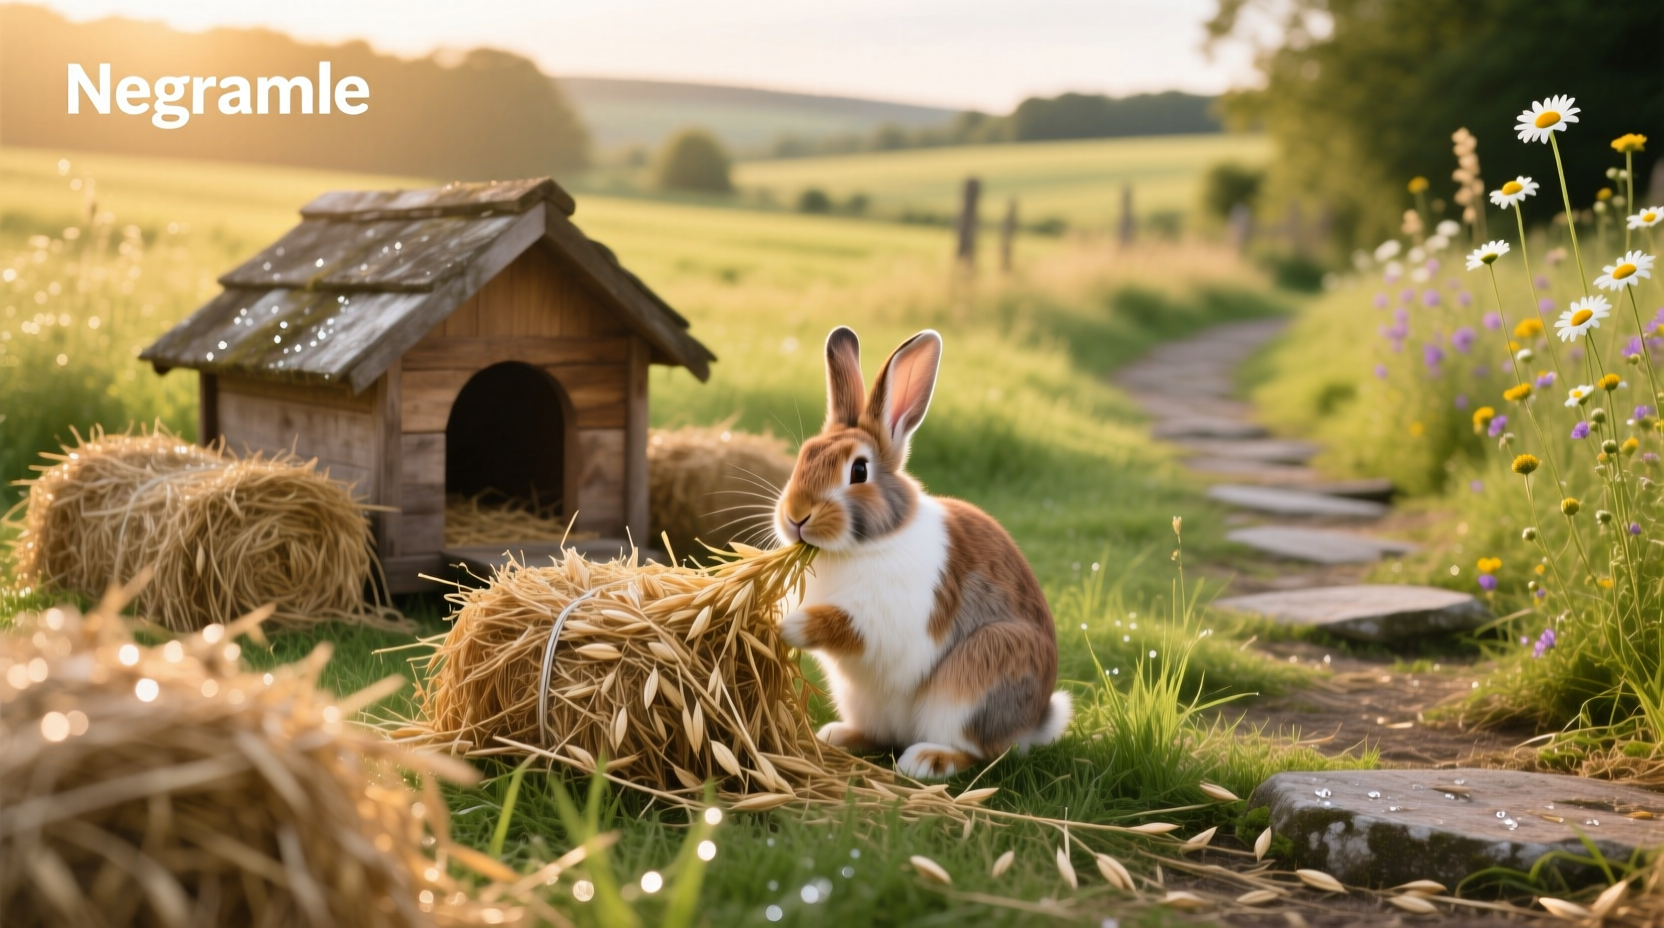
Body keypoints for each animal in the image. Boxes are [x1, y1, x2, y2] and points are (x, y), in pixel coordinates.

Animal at [774, 325, 1071, 780]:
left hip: (976, 678)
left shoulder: (886, 618)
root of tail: (1034, 723)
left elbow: (844, 624)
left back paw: (928, 761)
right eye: (805, 454)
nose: (796, 516)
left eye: (858, 470)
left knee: (980, 752)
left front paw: (789, 626)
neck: (863, 546)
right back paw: (838, 736)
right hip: (861, 700)